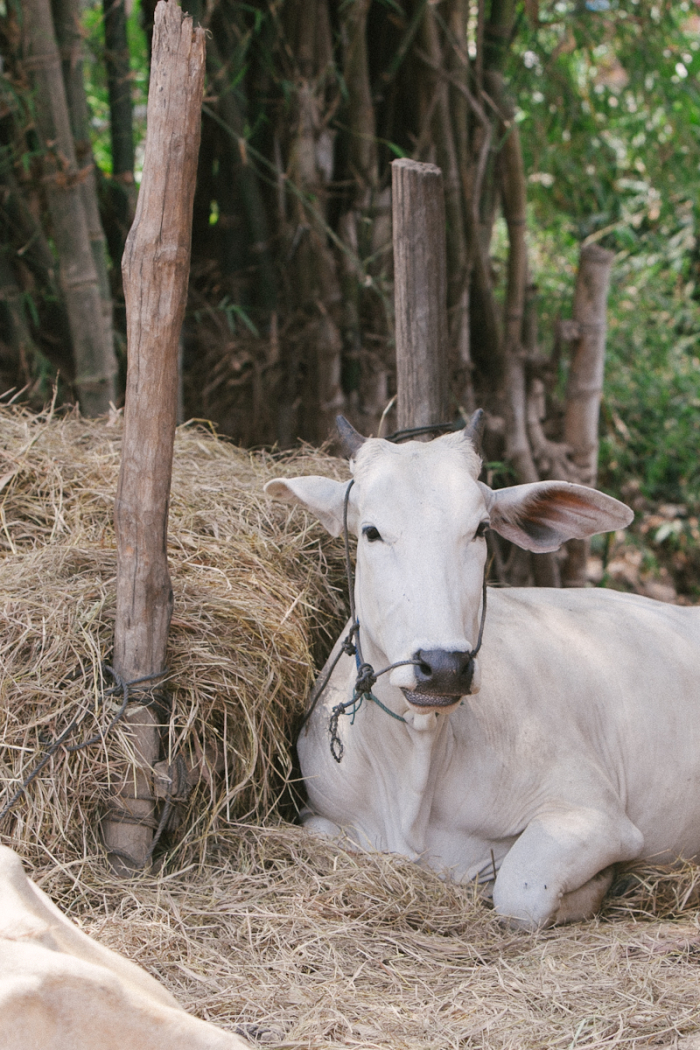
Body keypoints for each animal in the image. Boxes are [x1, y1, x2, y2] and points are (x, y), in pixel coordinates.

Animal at [265, 414, 700, 930]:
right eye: (370, 531)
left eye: (479, 529)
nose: (443, 667)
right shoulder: (318, 812)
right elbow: (323, 839)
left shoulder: (595, 816)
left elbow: (520, 893)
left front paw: (601, 887)